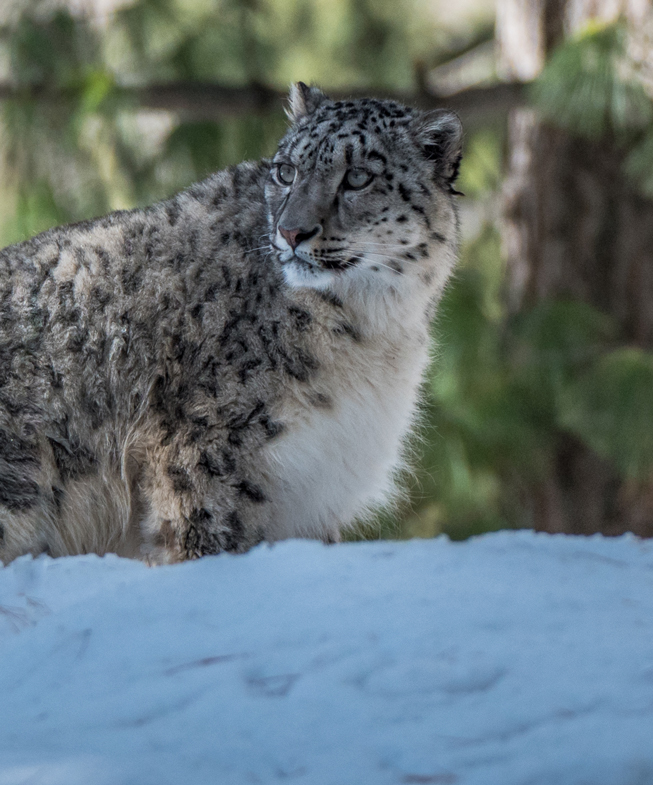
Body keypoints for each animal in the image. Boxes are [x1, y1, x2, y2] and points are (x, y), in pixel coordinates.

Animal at [0, 83, 462, 565]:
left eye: (357, 177)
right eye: (286, 171)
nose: (292, 231)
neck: (373, 329)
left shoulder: (315, 492)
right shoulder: (206, 453)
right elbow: (204, 542)